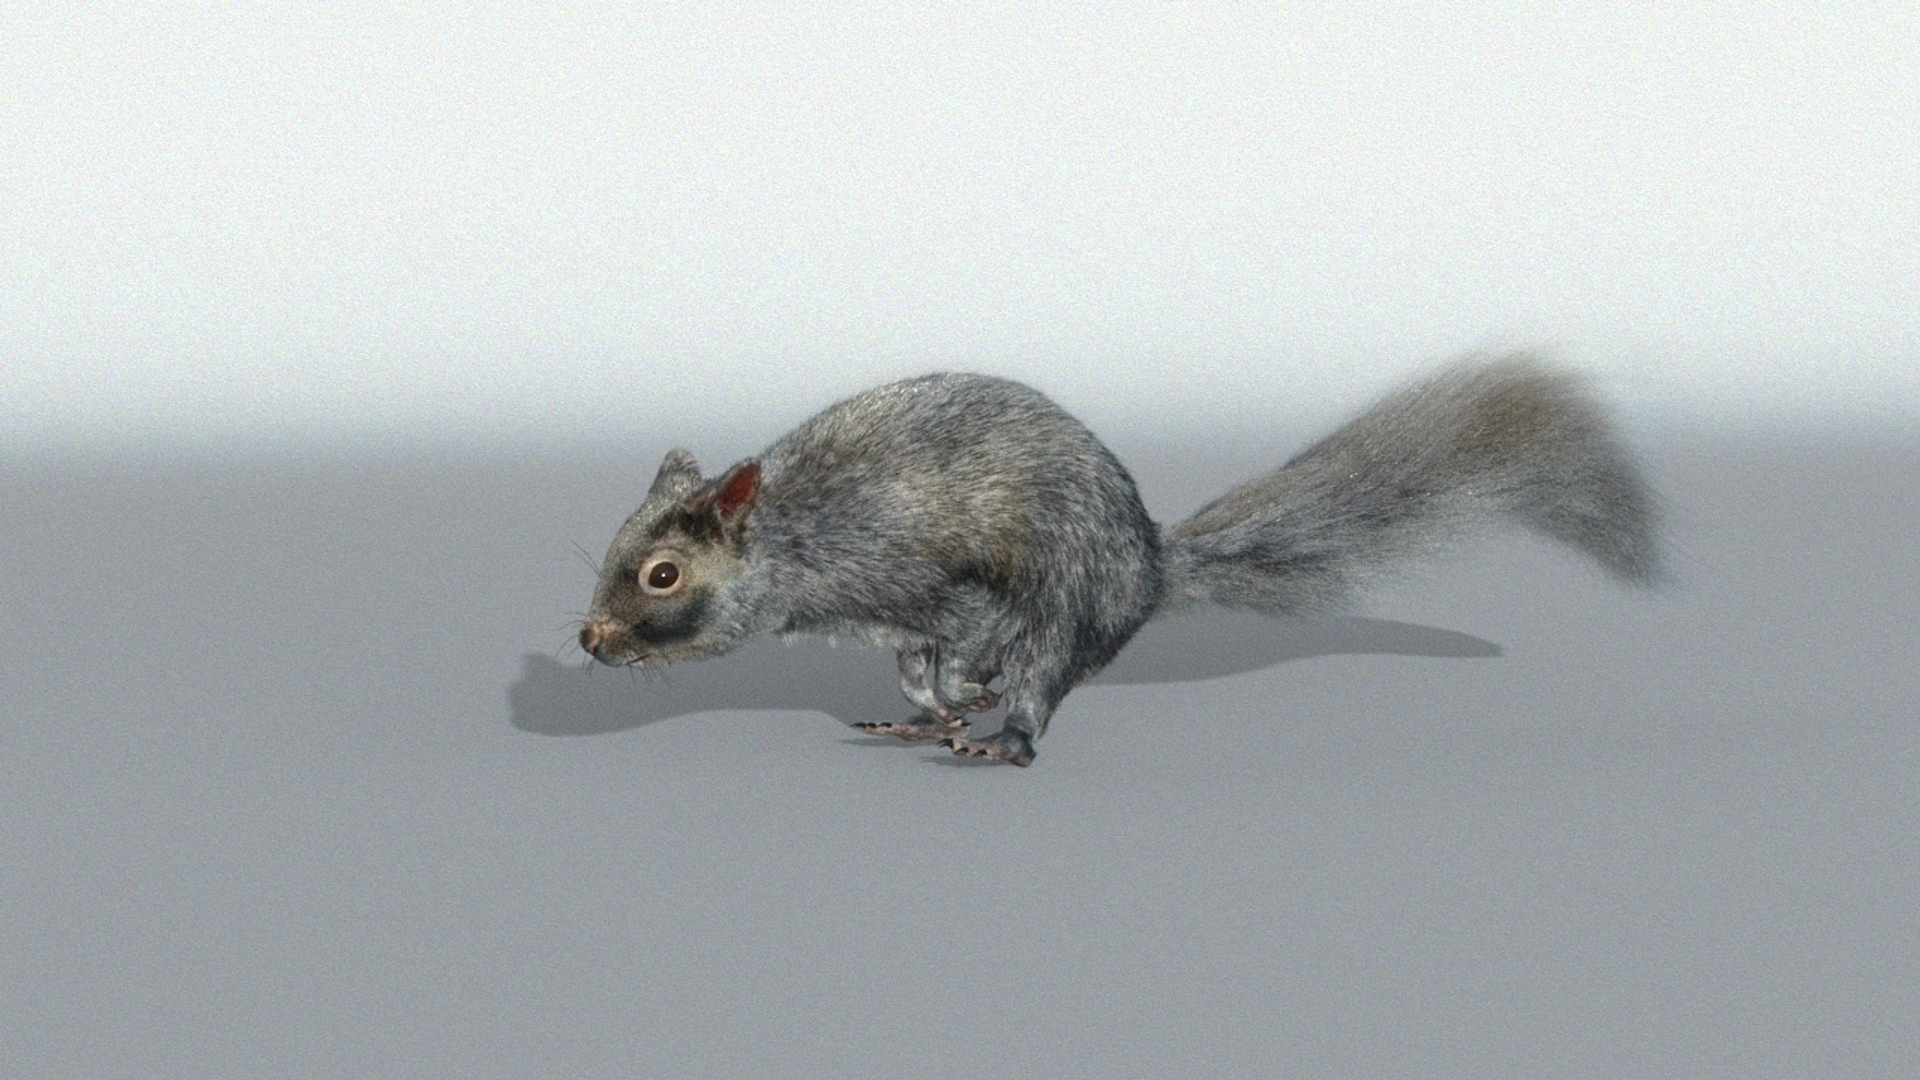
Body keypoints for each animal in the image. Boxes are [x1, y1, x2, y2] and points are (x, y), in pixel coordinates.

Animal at [577, 354, 1659, 766]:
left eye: (663, 574)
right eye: (614, 549)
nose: (588, 639)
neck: (802, 541)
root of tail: (1147, 563)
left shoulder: (938, 582)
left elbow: (967, 646)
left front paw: (973, 698)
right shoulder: (904, 619)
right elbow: (917, 667)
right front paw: (929, 706)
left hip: (1072, 599)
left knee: (1049, 673)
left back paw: (1006, 737)